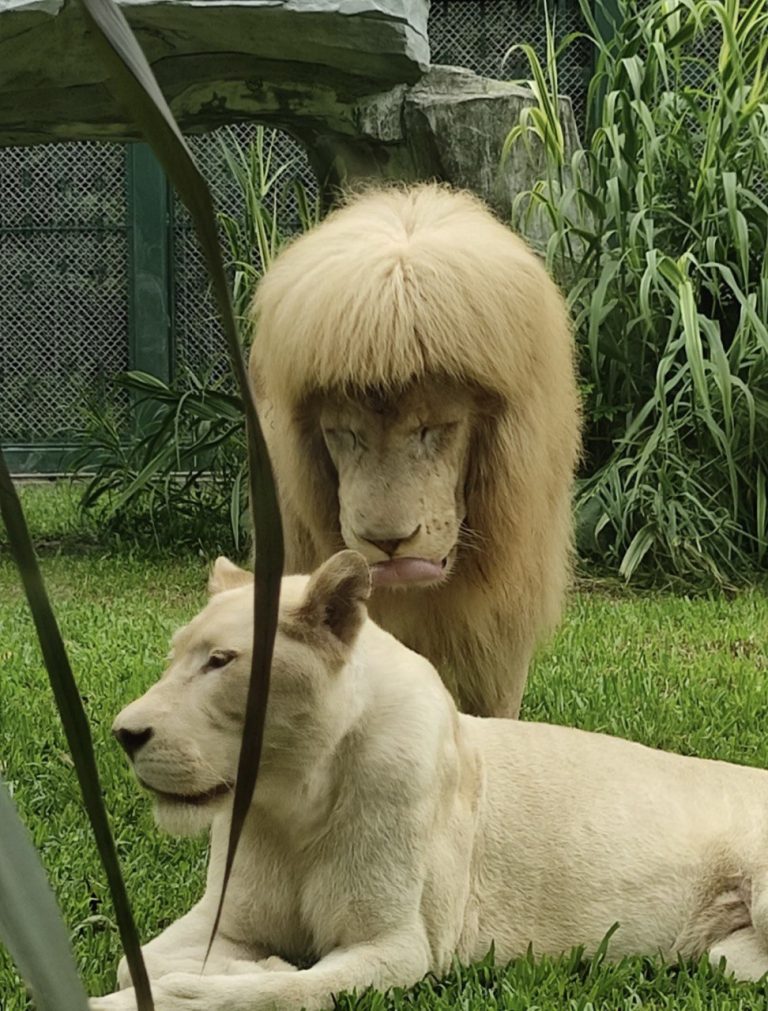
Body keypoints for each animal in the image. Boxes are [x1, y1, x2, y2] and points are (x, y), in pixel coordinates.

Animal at [92, 551, 768, 1011]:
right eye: (174, 656)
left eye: (221, 661)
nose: (124, 733)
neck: (292, 802)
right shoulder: (228, 919)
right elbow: (133, 963)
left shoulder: (401, 947)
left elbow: (281, 992)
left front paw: (212, 986)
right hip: (724, 959)